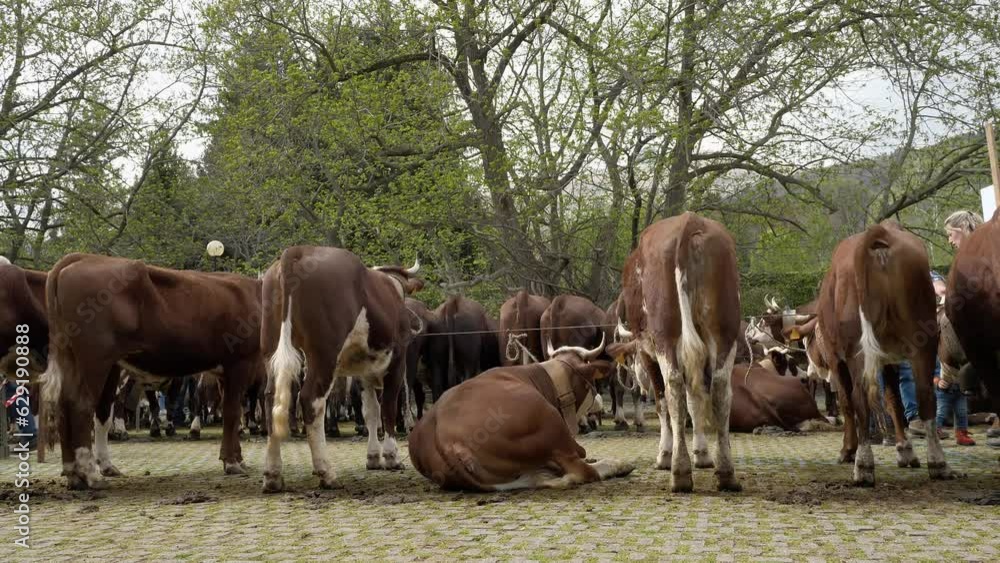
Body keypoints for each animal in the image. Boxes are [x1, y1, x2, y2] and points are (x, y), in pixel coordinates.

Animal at [40, 253, 264, 490]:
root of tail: (83, 258)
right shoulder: (241, 362)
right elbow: (232, 412)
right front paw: (231, 462)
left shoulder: (225, 373)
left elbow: (234, 411)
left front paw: (238, 459)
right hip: (94, 359)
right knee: (80, 406)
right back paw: (90, 474)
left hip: (74, 358)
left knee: (71, 407)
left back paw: (76, 473)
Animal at [261, 247, 422, 492]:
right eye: (404, 294)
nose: (416, 323)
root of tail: (298, 250)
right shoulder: (396, 363)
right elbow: (388, 408)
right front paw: (391, 456)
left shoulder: (364, 371)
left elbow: (371, 411)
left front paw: (373, 457)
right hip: (323, 355)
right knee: (311, 401)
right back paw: (326, 473)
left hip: (272, 351)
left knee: (272, 399)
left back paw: (273, 476)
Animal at [407, 338, 634, 491]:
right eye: (593, 380)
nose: (600, 402)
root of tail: (445, 439)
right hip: (550, 422)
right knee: (582, 471)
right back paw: (619, 464)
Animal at [607, 212, 742, 493]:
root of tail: (690, 221)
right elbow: (695, 402)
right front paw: (702, 454)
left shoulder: (646, 352)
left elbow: (663, 404)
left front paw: (665, 455)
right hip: (726, 332)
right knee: (720, 390)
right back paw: (725, 471)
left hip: (665, 337)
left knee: (673, 389)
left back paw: (679, 470)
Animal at [813, 221, 957, 485]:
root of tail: (881, 233)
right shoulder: (889, 359)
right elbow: (893, 399)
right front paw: (905, 451)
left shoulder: (835, 358)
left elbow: (846, 402)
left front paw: (848, 450)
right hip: (924, 343)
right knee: (925, 395)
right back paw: (938, 463)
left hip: (855, 351)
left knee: (858, 398)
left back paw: (863, 465)